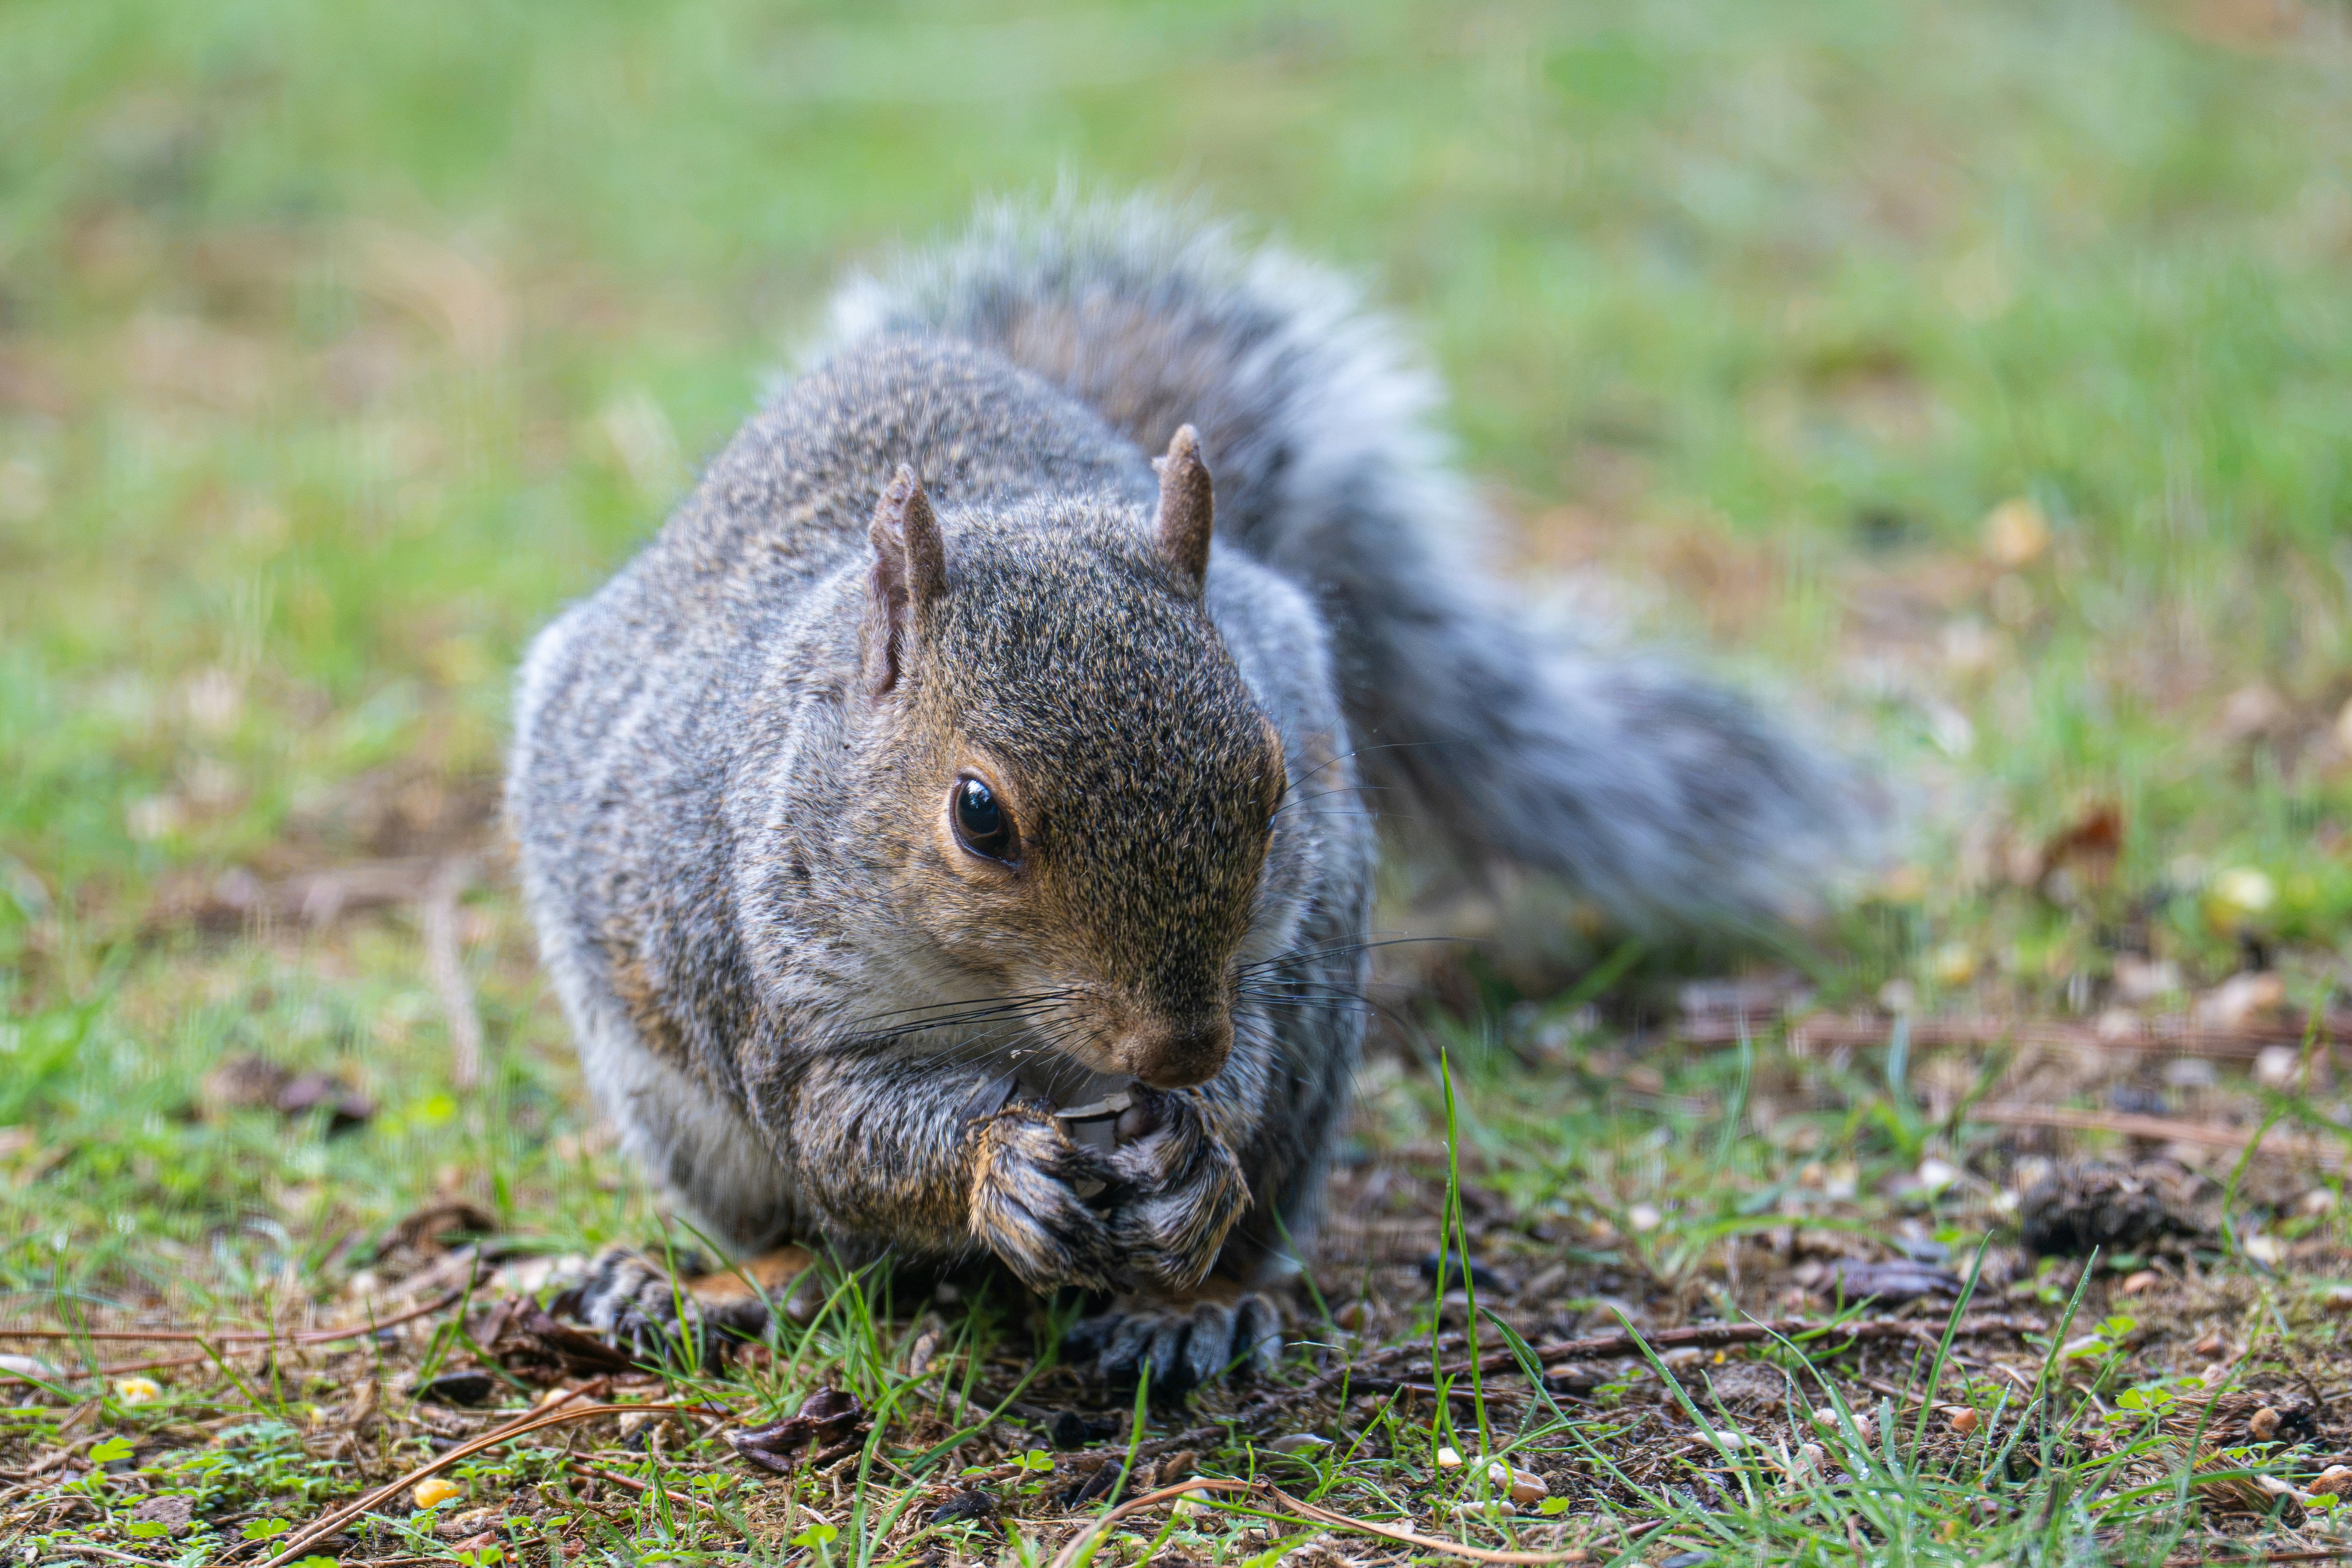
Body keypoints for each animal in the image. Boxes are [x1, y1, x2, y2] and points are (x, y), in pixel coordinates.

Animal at [508, 195, 1857, 1388]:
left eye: (1272, 780)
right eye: (977, 815)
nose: (1178, 1046)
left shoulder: (1265, 971)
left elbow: (1238, 1085)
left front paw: (1199, 1145)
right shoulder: (771, 998)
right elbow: (844, 1136)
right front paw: (998, 1169)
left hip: (1319, 1022)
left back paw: (1191, 1306)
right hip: (669, 1104)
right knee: (824, 1242)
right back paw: (717, 1284)